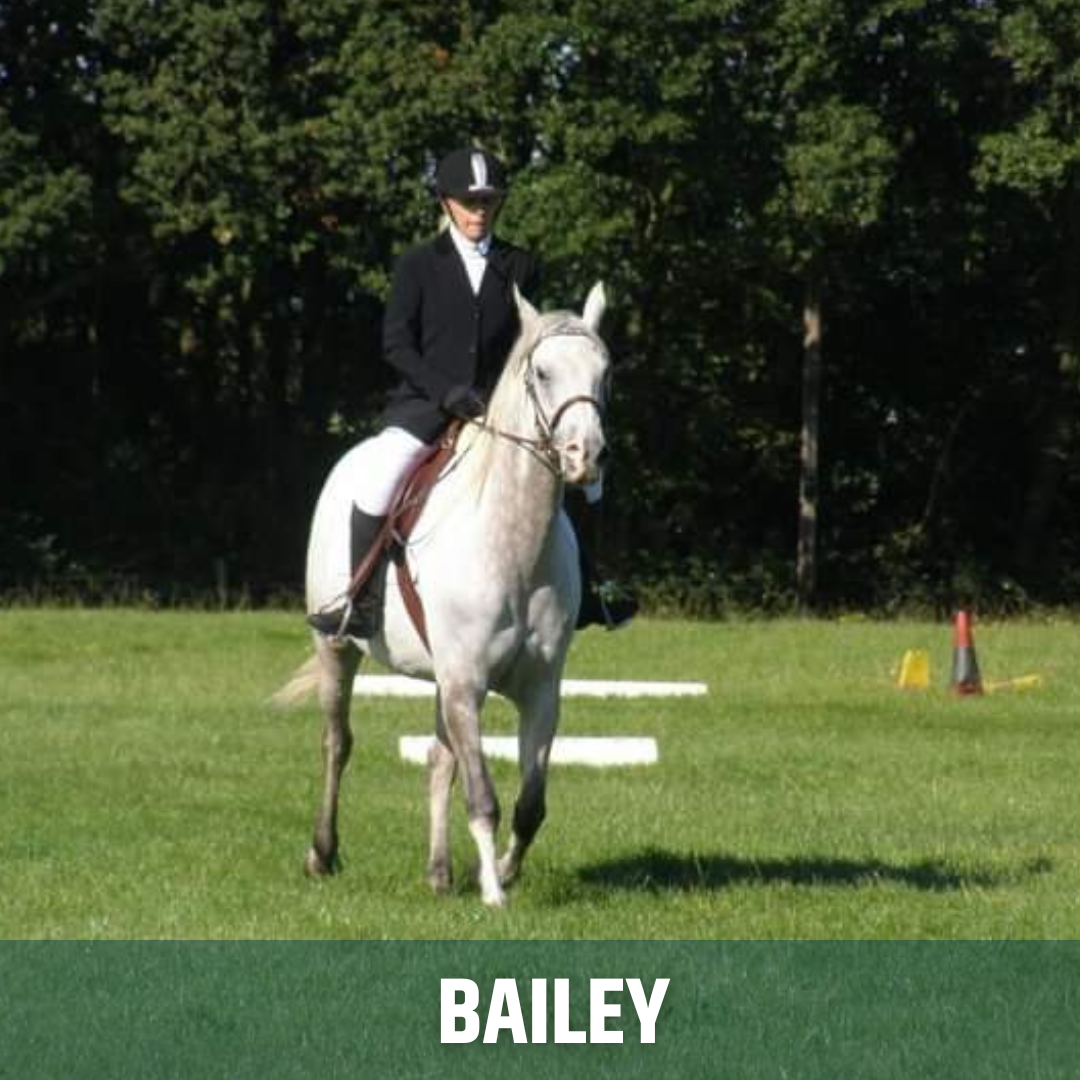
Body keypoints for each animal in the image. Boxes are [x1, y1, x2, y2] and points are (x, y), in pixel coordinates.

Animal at [274, 283, 611, 907]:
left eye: (606, 371)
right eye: (543, 372)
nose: (587, 457)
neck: (514, 545)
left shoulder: (538, 690)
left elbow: (529, 805)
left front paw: (499, 872)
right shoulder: (465, 682)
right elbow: (483, 798)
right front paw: (495, 896)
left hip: (441, 681)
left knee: (436, 759)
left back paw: (439, 873)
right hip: (339, 650)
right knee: (337, 742)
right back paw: (322, 855)